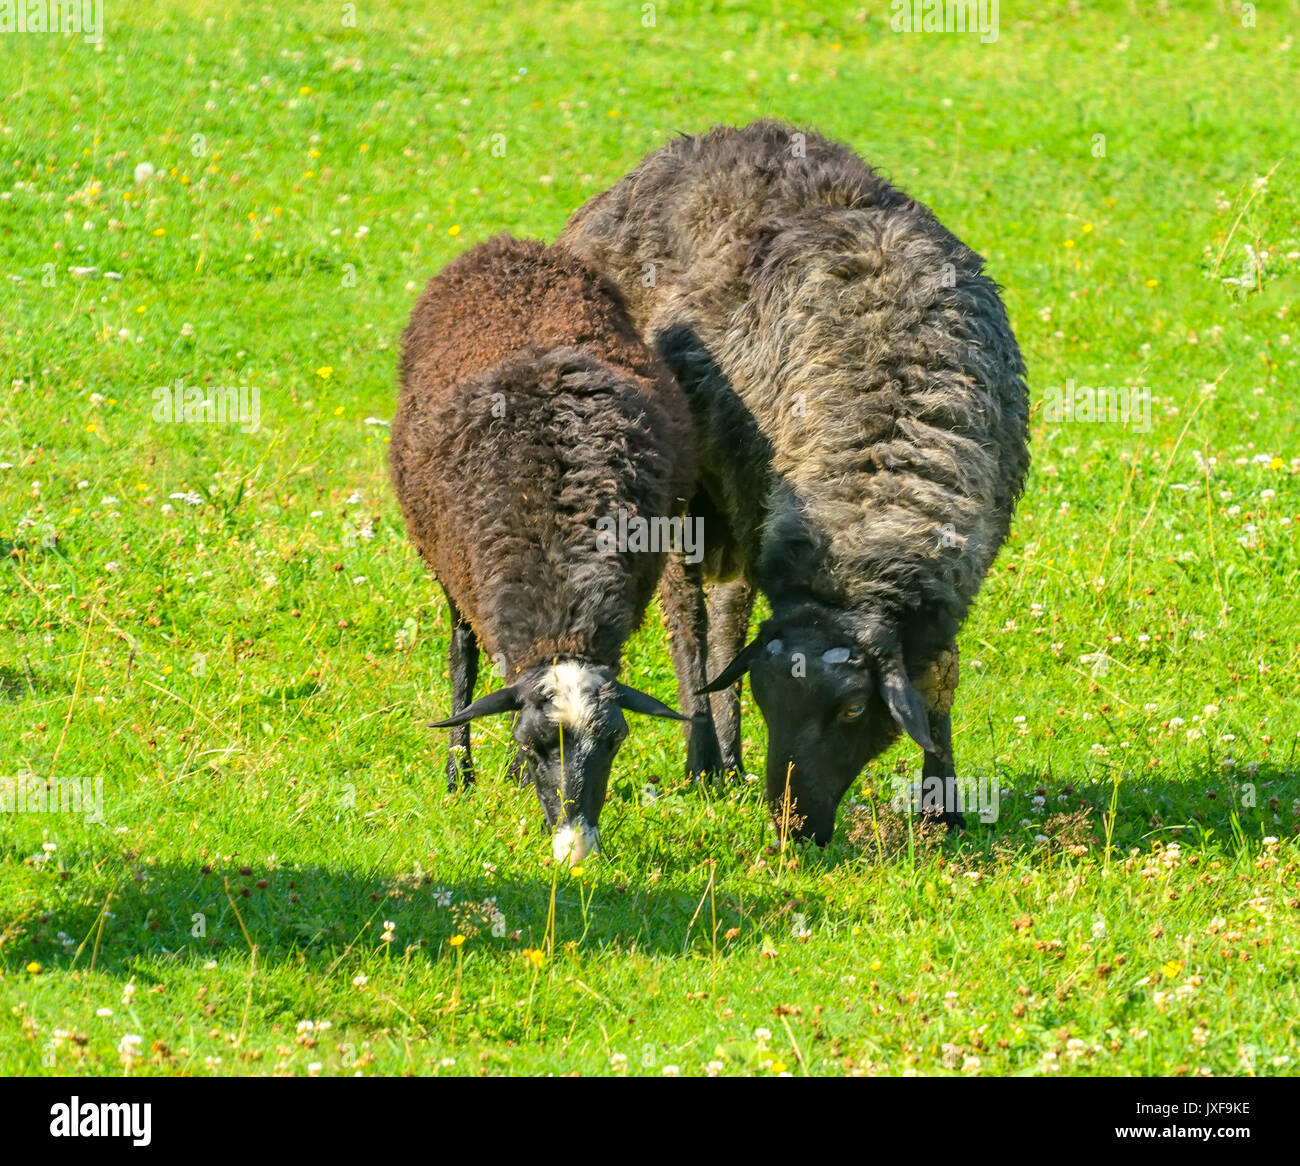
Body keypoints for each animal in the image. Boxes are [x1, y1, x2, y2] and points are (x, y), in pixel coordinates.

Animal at [389, 234, 697, 863]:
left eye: (614, 743)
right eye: (535, 746)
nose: (576, 853)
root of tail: (508, 245)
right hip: (447, 567)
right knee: (462, 655)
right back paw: (460, 772)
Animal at [562, 120, 1031, 843]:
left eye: (851, 711)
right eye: (768, 699)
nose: (794, 826)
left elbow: (940, 675)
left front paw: (944, 806)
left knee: (727, 611)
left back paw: (726, 757)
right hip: (685, 488)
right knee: (689, 618)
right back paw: (706, 760)